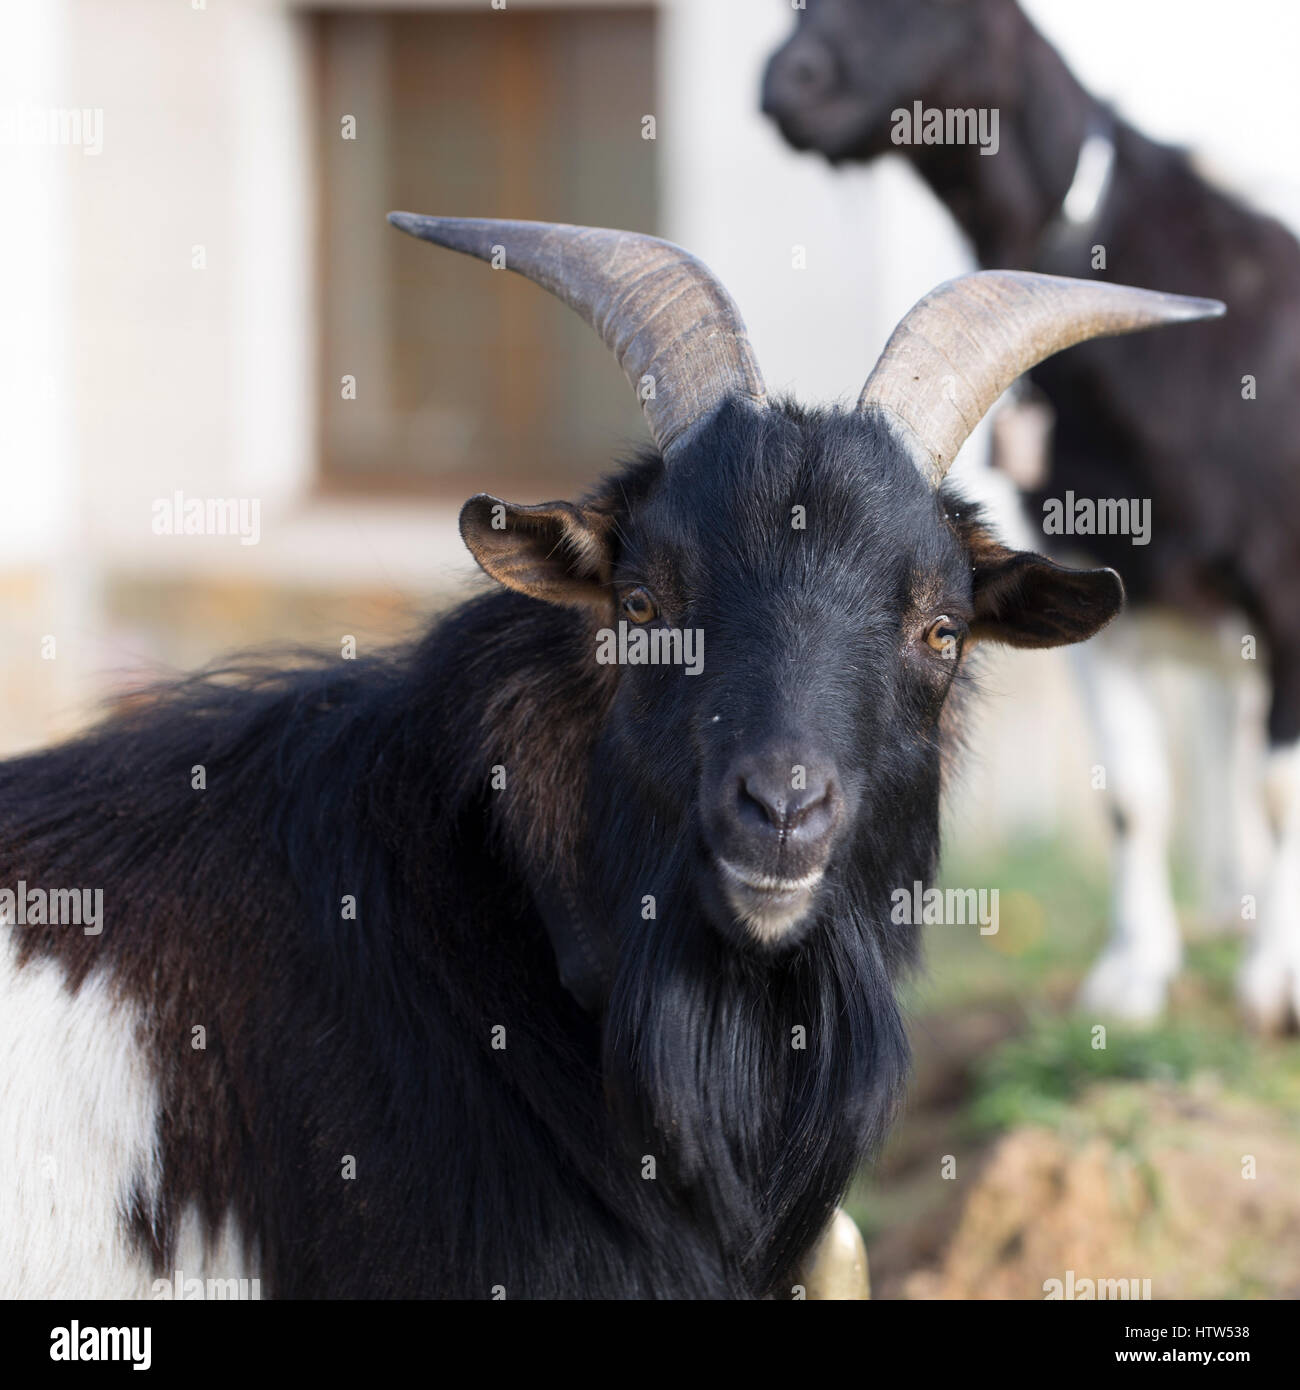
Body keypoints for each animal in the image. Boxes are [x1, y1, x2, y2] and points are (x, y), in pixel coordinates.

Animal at [763, 0, 1300, 1030]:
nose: (784, 84)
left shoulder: (1284, 579)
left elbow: (1281, 787)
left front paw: (1275, 984)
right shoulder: (1093, 561)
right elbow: (1133, 791)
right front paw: (1132, 976)